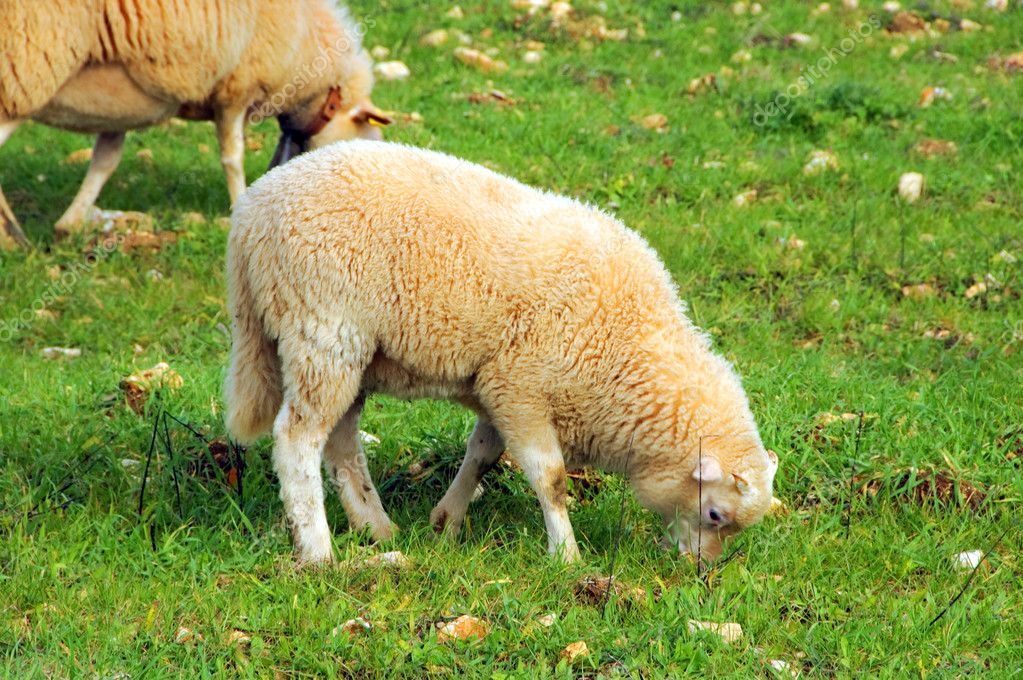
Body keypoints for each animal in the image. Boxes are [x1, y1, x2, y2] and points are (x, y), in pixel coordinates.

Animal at [0, 0, 390, 250]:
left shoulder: (117, 108)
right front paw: (239, 204)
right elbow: (232, 159)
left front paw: (69, 224)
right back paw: (12, 236)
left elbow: (105, 161)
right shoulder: (236, 88)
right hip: (25, 68)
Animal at [224, 140, 779, 565]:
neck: (628, 348)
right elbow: (551, 480)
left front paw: (446, 521)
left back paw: (376, 527)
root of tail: (251, 212)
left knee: (340, 444)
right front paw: (567, 555)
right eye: (715, 514)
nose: (700, 569)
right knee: (297, 441)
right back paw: (319, 551)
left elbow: (483, 455)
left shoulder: (501, 388)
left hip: (349, 353)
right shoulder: (524, 388)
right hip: (321, 331)